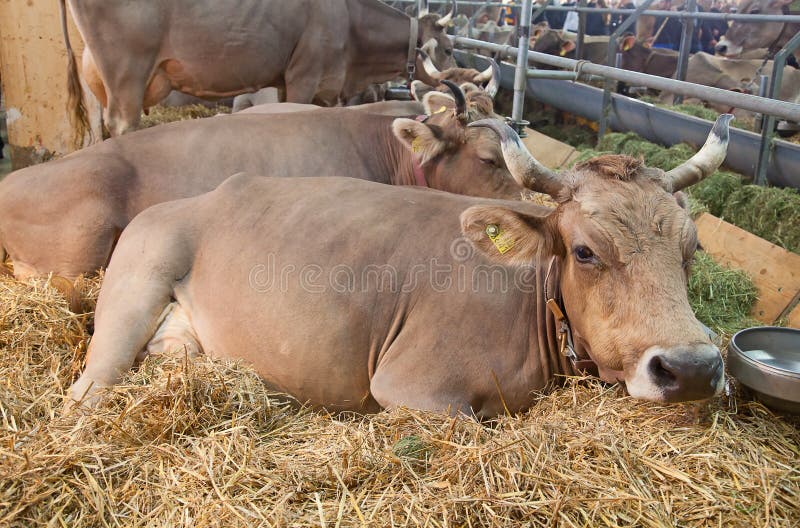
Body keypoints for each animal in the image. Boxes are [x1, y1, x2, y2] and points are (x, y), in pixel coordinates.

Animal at [60, 0, 458, 138]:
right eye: (450, 48)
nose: (454, 80)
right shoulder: (304, 75)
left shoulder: (298, 81)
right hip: (127, 71)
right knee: (122, 124)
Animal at [66, 115, 734, 416]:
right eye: (585, 250)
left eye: (691, 249)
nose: (693, 369)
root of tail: (186, 202)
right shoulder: (412, 385)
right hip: (130, 297)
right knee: (87, 389)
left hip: (181, 343)